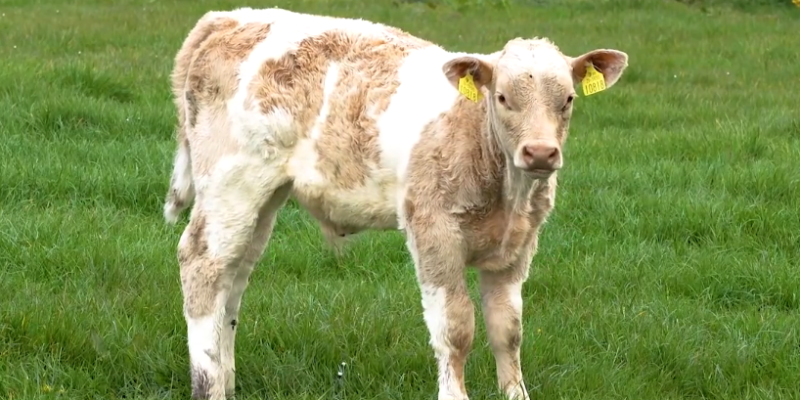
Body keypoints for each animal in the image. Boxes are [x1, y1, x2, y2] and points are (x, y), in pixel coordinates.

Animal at [162, 7, 628, 400]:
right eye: (502, 98)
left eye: (567, 99)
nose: (540, 153)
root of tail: (229, 17)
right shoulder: (433, 229)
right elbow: (455, 326)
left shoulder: (519, 243)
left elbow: (507, 328)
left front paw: (516, 394)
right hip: (231, 182)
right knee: (202, 265)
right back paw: (209, 385)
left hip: (262, 199)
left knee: (233, 278)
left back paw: (226, 379)